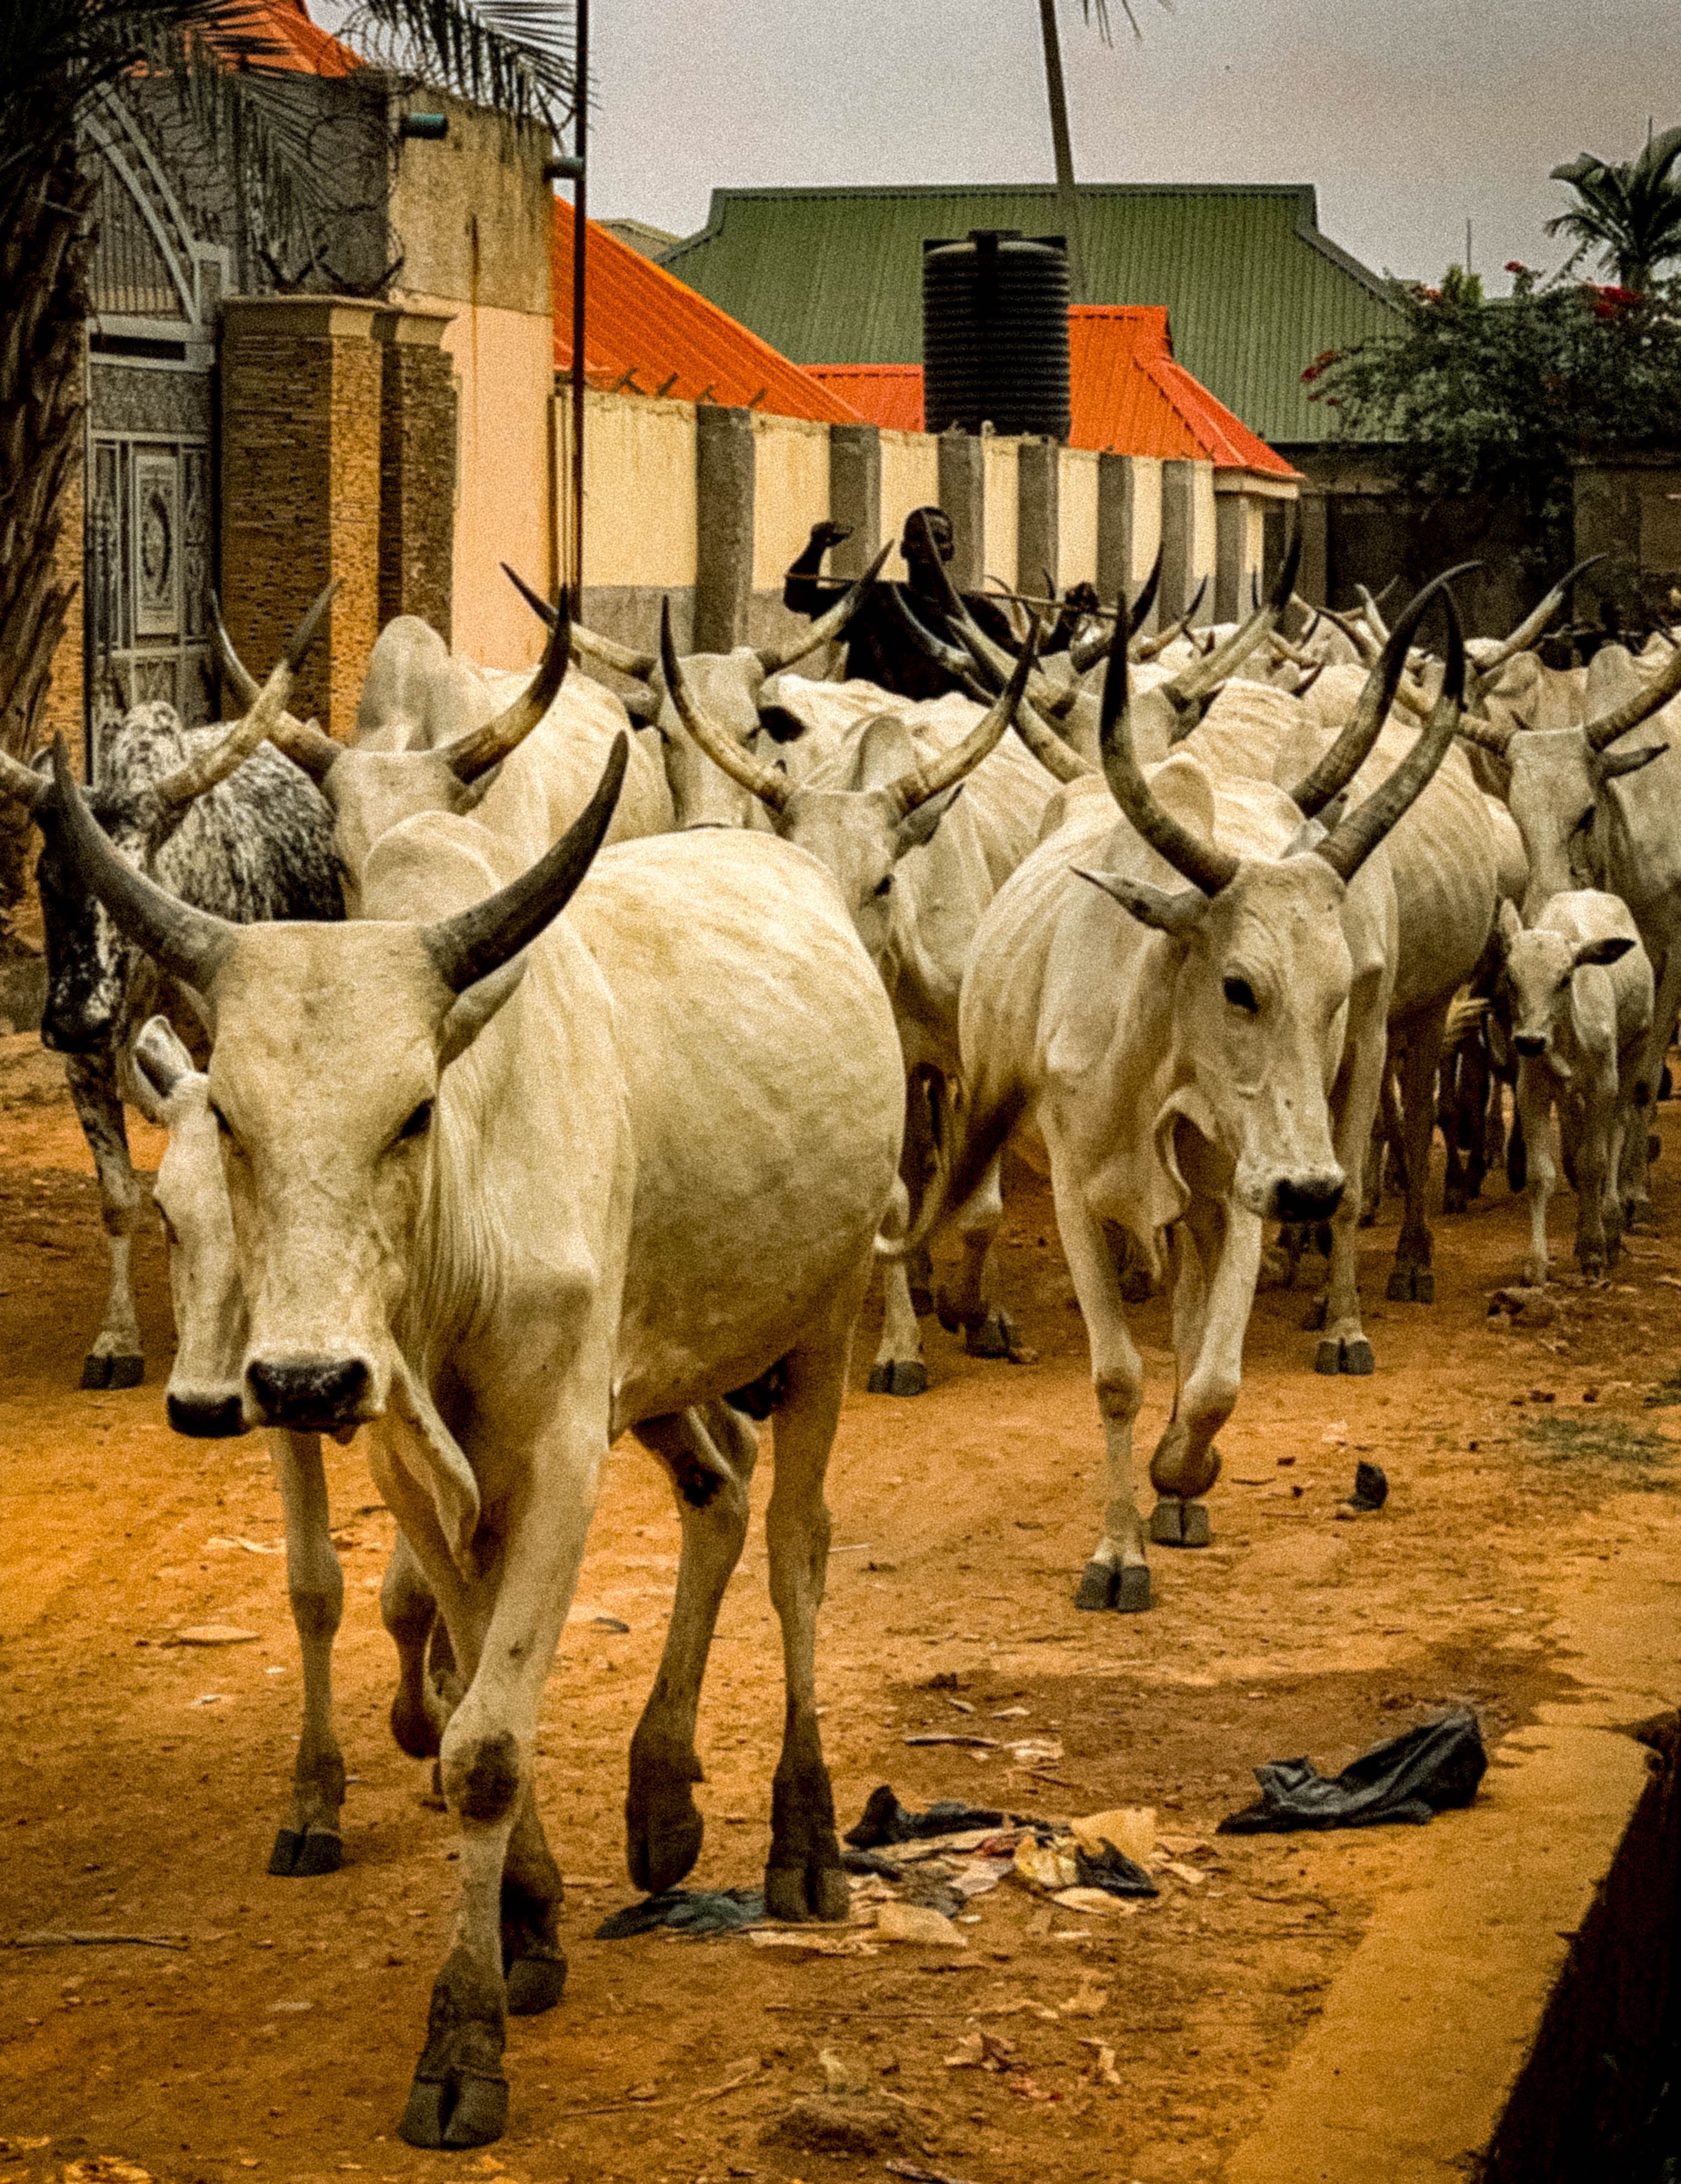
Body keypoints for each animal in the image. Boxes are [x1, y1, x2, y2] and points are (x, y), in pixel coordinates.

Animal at [0, 590, 342, 1387]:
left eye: (134, 879)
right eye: (45, 877)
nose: (74, 1016)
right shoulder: (84, 1064)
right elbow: (119, 1197)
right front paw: (116, 1339)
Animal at [49, 707, 906, 2147]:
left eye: (415, 1110)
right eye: (233, 1126)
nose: (298, 1384)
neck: (459, 1223)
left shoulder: (560, 1452)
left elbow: (492, 1743)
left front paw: (463, 2041)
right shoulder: (414, 1459)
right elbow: (457, 1686)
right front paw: (528, 1924)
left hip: (828, 1318)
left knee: (797, 1548)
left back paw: (803, 1840)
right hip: (669, 1361)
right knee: (720, 1493)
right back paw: (661, 1799)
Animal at [892, 607, 1464, 1610]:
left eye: (1335, 995)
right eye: (1238, 986)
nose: (1313, 1192)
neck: (1164, 1062)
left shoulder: (1242, 1189)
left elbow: (1214, 1375)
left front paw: (1181, 1475)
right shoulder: (1078, 1197)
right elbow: (1117, 1376)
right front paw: (1116, 1554)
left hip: (1214, 1199)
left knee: (1196, 1324)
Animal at [1495, 891, 1653, 1285]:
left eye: (1565, 979)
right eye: (1511, 978)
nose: (1530, 1041)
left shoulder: (1602, 1087)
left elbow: (1593, 1163)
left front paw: (1595, 1249)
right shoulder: (1531, 1089)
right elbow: (1541, 1174)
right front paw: (1536, 1264)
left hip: (1633, 1057)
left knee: (1616, 1133)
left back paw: (1610, 1222)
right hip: (1569, 1097)